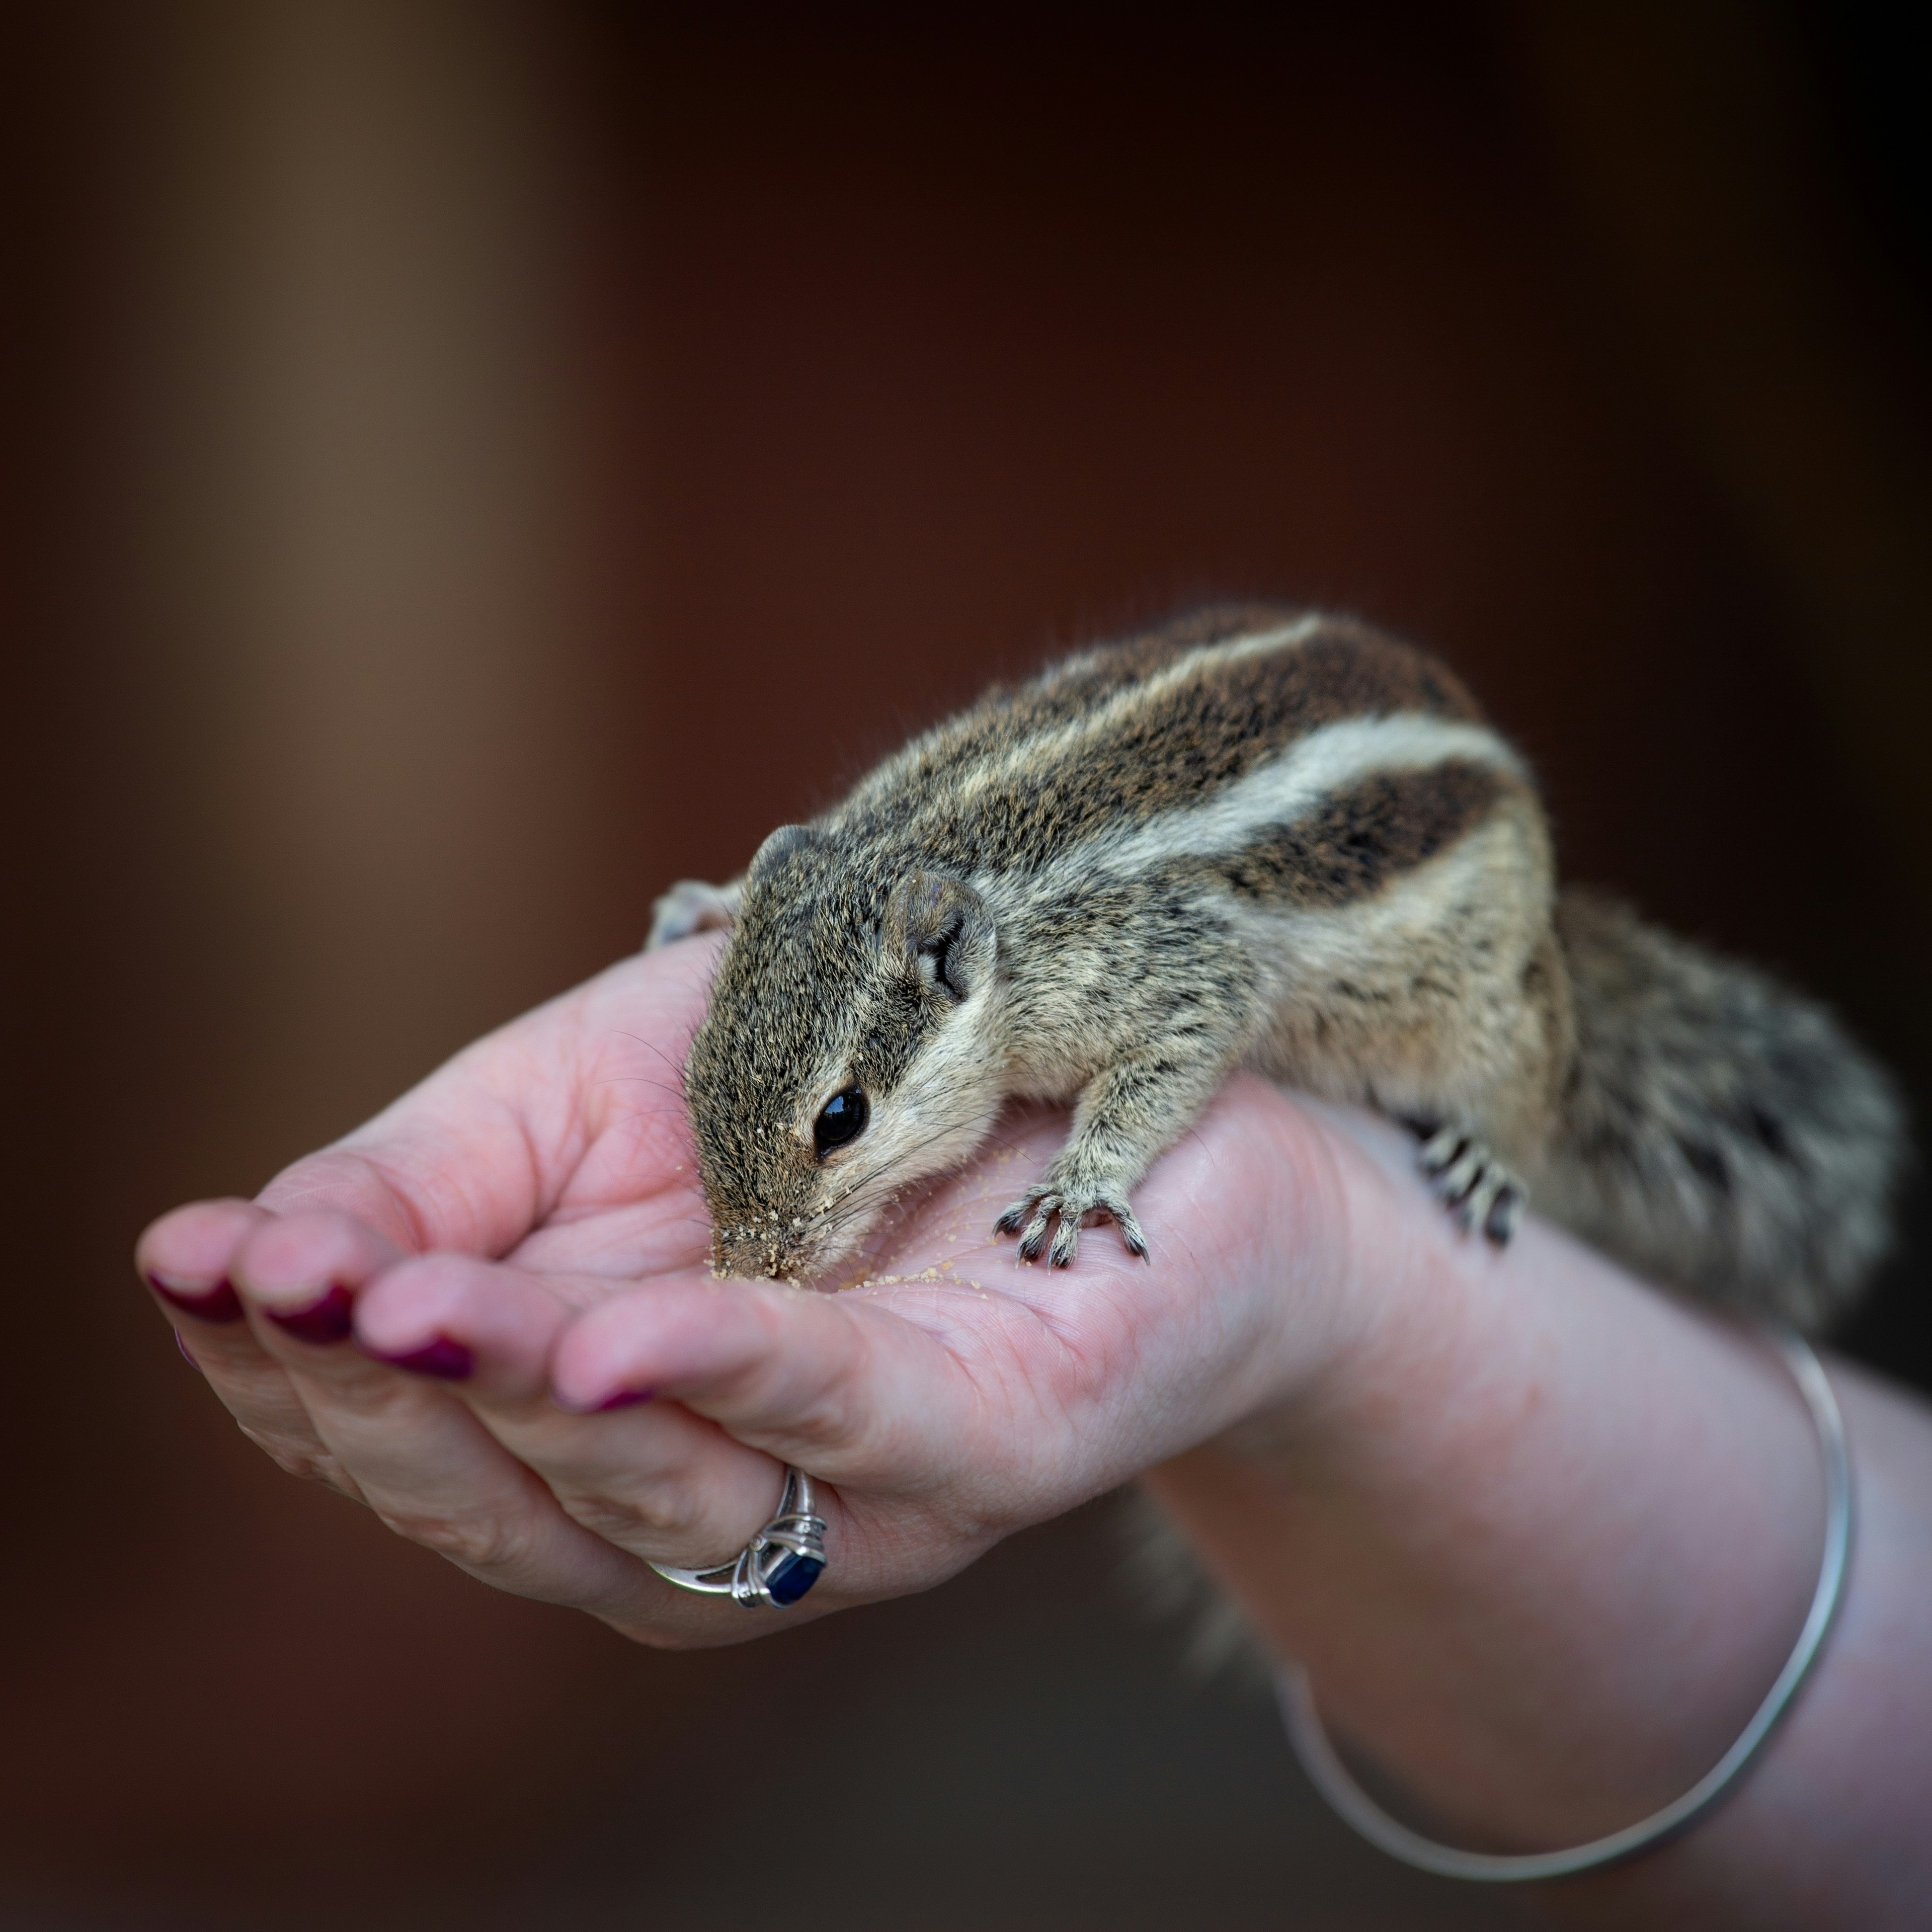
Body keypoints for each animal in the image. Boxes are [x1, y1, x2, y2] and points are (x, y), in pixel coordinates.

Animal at [648, 605, 1904, 1331]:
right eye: (695, 1082)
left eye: (841, 1119)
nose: (748, 1269)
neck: (939, 844)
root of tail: (1555, 929)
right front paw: (705, 900)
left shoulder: (1174, 962)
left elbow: (1172, 1061)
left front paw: (1079, 1184)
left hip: (1494, 1007)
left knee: (1533, 1082)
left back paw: (1489, 1153)